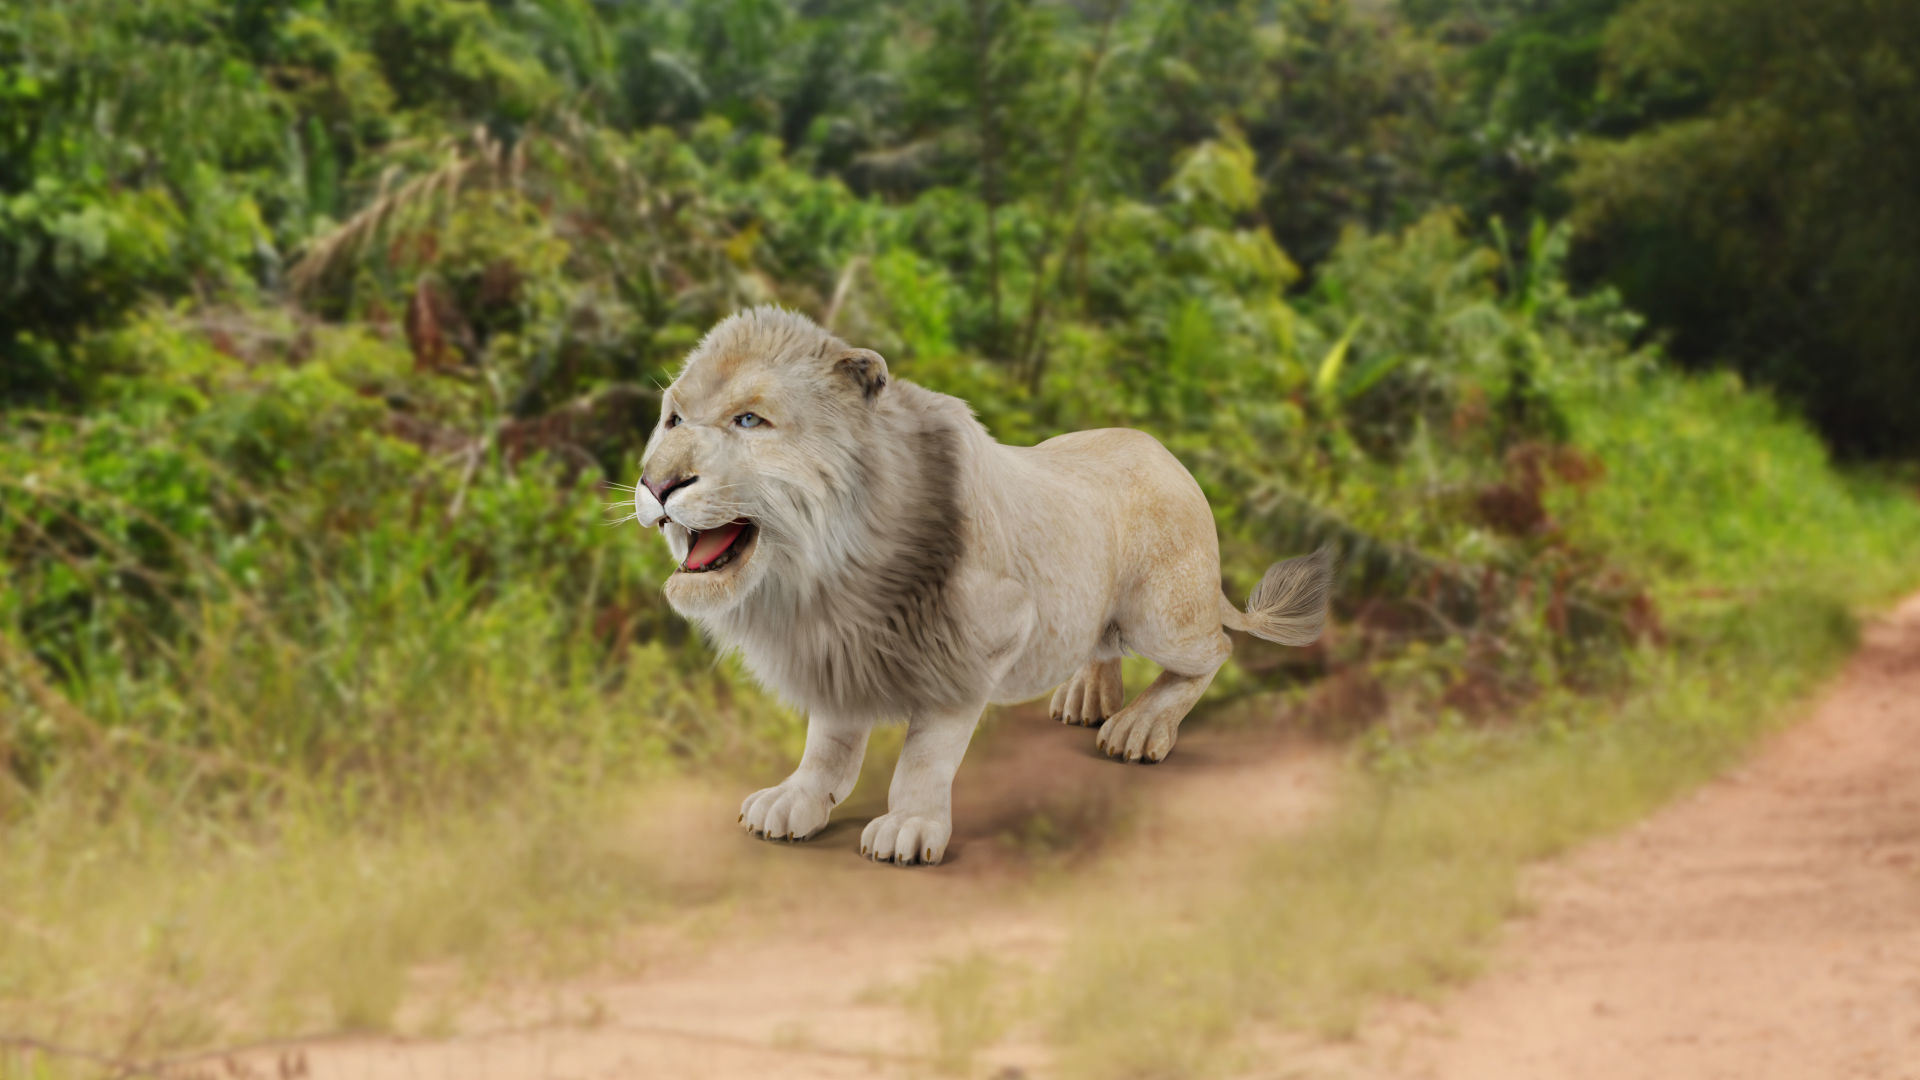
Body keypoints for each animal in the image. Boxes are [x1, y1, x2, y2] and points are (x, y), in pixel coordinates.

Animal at [632, 307, 1333, 866]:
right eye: (673, 420)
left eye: (749, 420)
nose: (655, 485)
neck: (827, 578)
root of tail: (1171, 456)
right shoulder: (838, 653)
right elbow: (828, 743)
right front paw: (795, 800)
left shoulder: (980, 637)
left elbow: (926, 752)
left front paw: (909, 825)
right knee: (1105, 643)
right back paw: (1086, 697)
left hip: (1162, 613)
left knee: (1214, 652)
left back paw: (1137, 728)